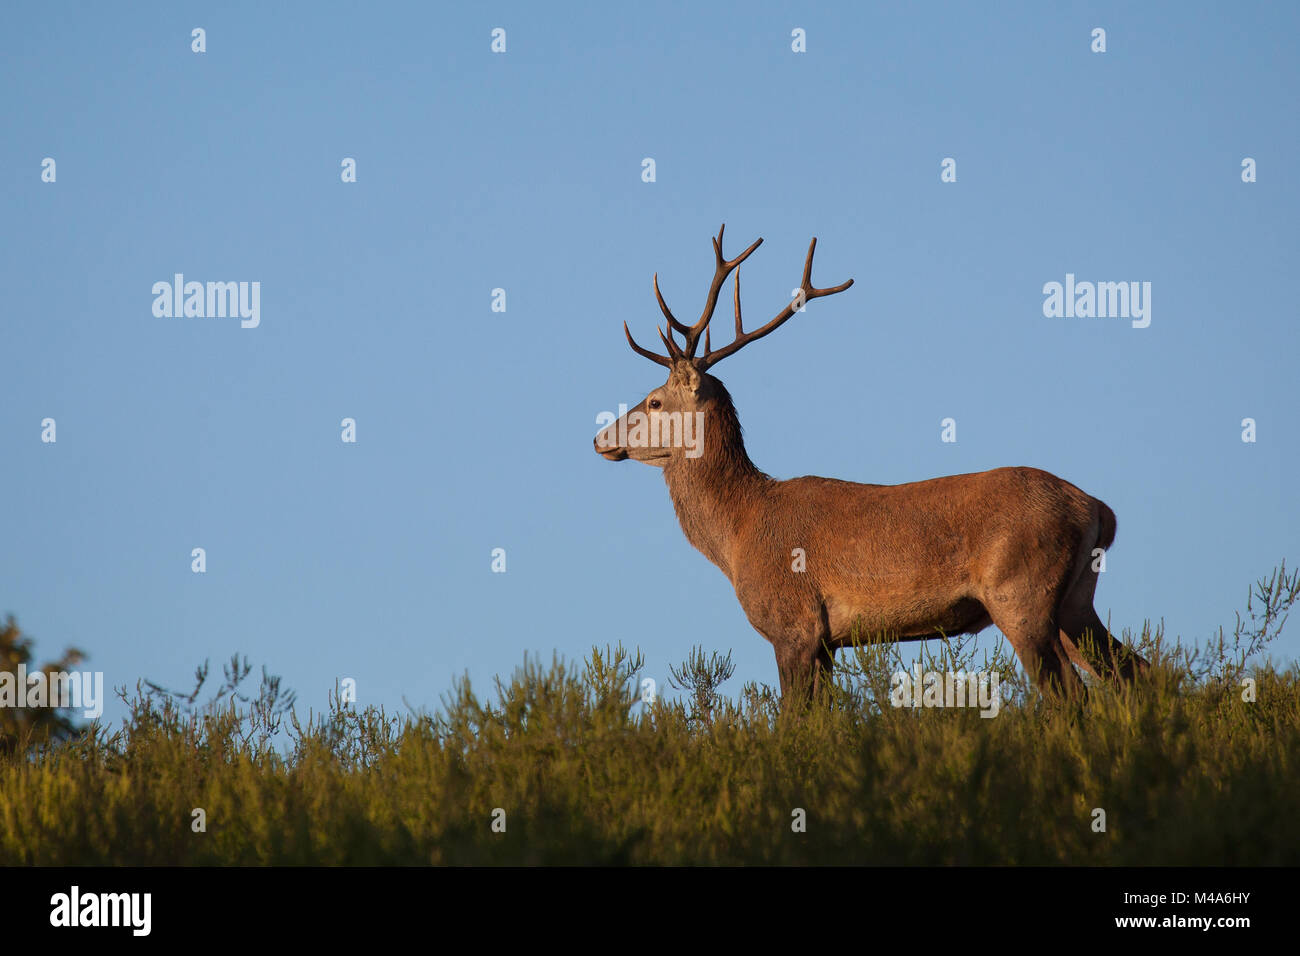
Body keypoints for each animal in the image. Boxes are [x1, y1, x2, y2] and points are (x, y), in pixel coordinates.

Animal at [594, 225, 1150, 706]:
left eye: (655, 400)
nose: (600, 436)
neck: (737, 533)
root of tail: (1099, 509)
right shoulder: (826, 641)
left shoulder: (794, 624)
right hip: (1076, 601)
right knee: (1140, 672)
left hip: (1021, 592)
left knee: (1072, 694)